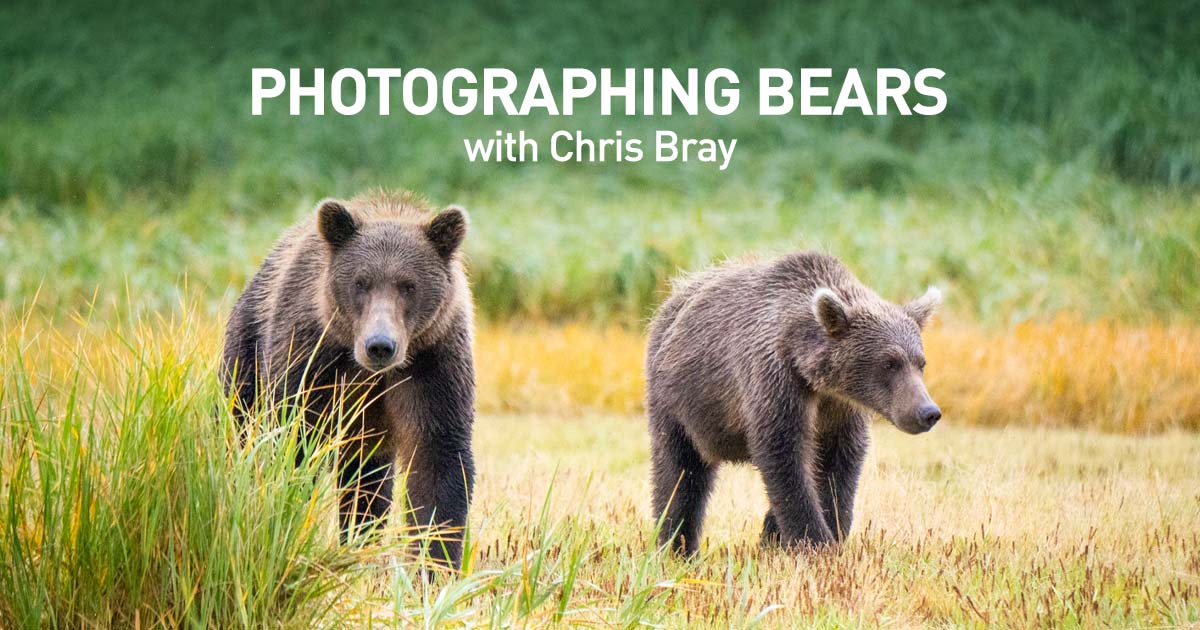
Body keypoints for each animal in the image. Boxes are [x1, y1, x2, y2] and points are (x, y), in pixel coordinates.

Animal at [220, 189, 476, 569]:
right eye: (361, 283)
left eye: (408, 286)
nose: (380, 345)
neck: (368, 369)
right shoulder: (309, 359)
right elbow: (290, 441)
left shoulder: (433, 364)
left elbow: (438, 461)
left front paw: (435, 565)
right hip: (247, 352)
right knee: (239, 429)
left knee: (367, 486)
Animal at [645, 251, 942, 555]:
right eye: (889, 363)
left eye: (920, 362)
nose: (927, 412)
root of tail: (674, 296)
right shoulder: (775, 381)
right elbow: (785, 456)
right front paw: (815, 543)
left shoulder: (839, 410)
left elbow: (839, 465)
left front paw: (825, 531)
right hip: (679, 401)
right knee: (680, 473)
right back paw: (676, 545)